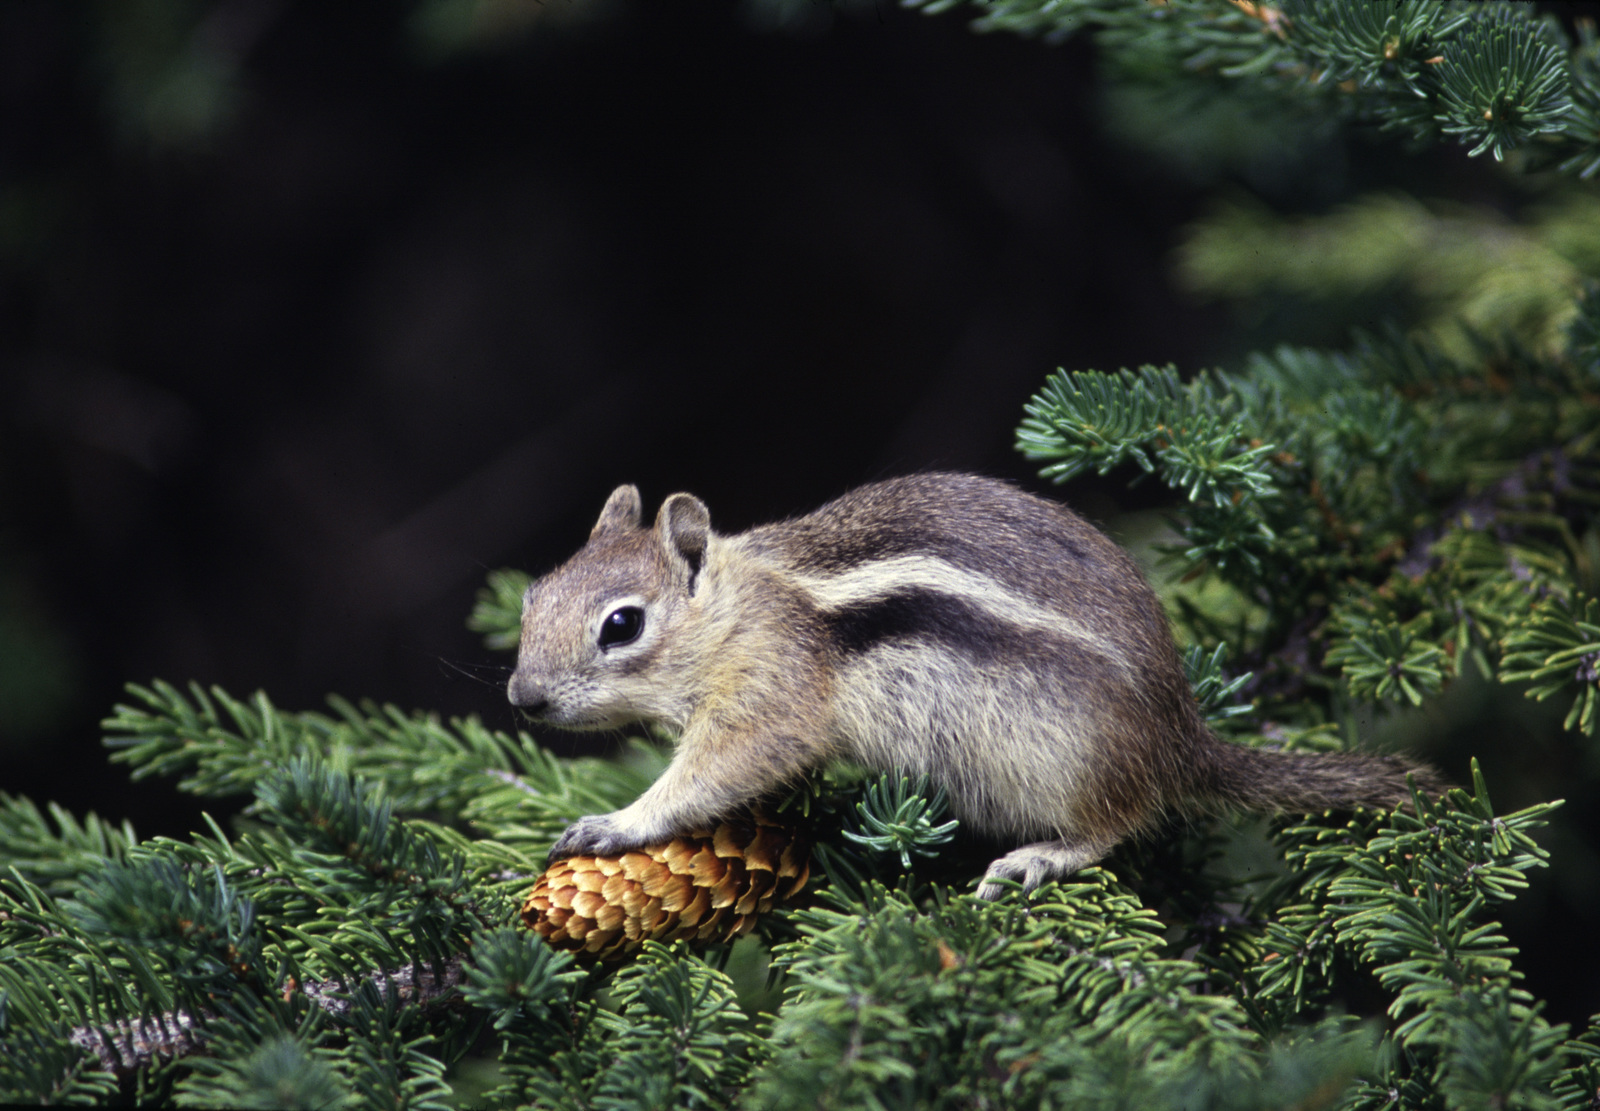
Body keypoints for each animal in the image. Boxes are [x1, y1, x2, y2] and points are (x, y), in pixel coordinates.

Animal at [508, 472, 1441, 899]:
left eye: (621, 625)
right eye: (532, 595)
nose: (522, 697)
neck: (741, 609)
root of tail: (1180, 738)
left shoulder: (771, 696)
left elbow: (712, 771)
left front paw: (615, 821)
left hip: (1062, 757)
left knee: (1116, 825)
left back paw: (1039, 856)